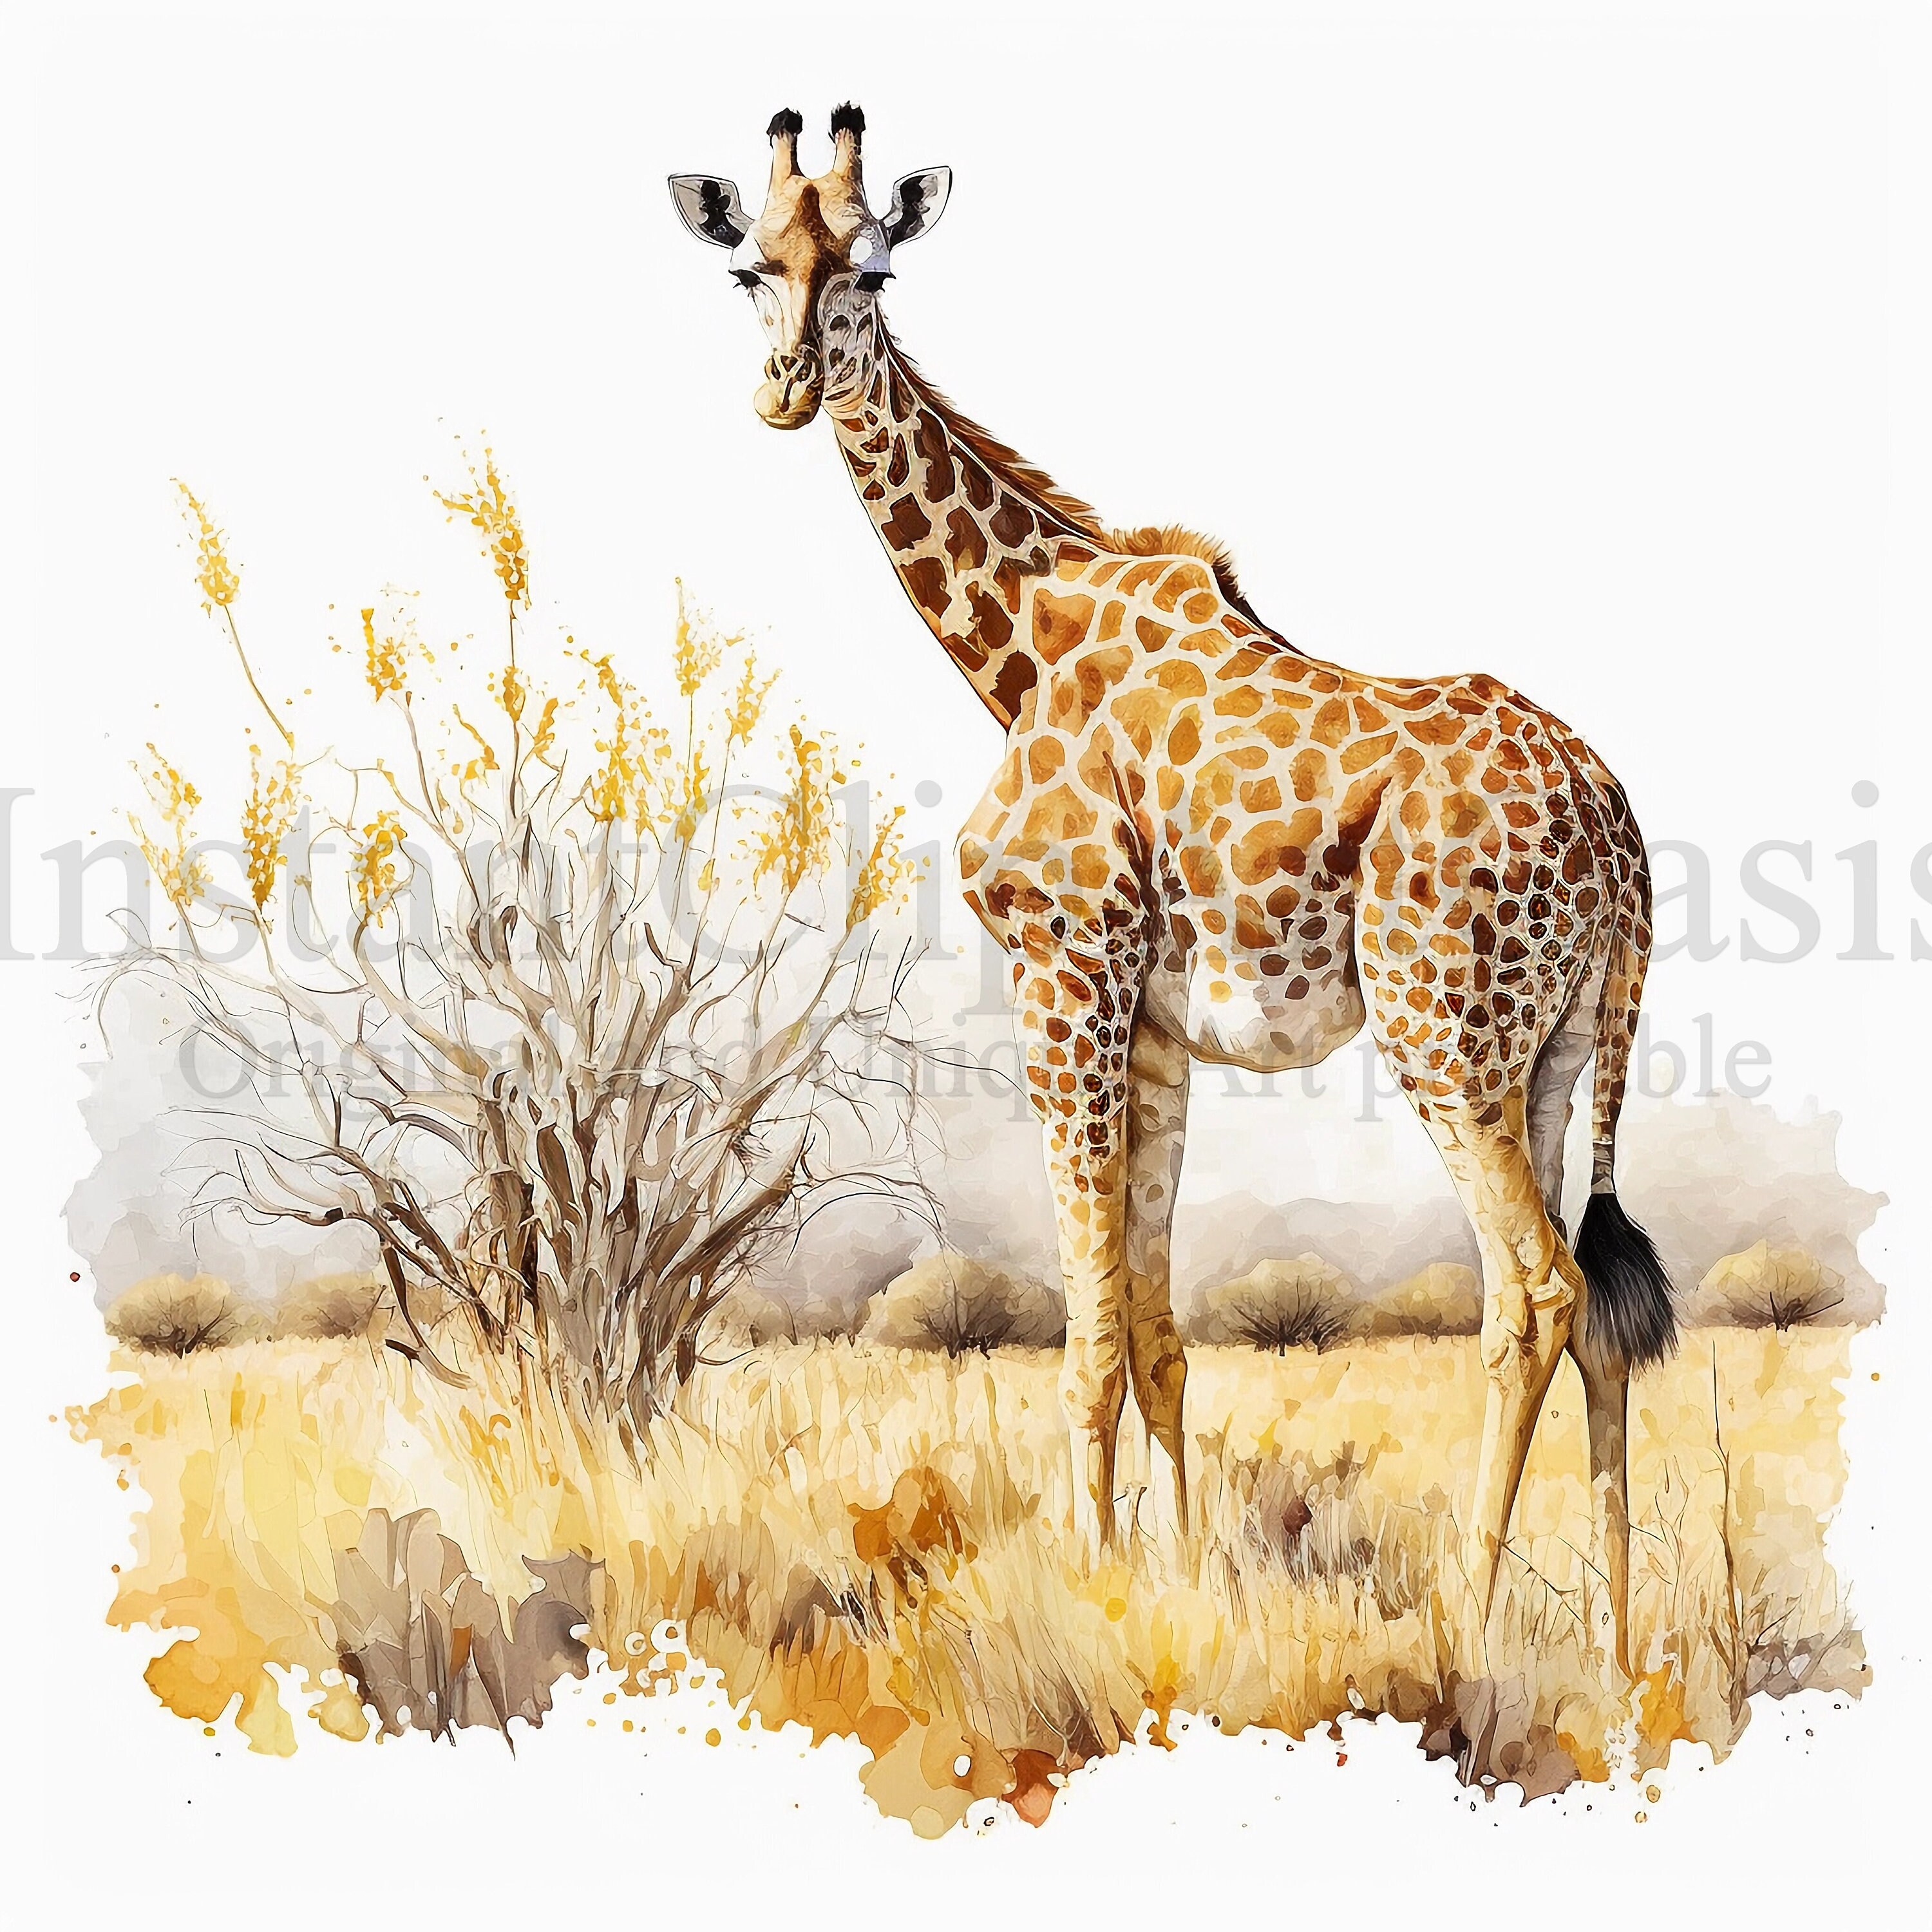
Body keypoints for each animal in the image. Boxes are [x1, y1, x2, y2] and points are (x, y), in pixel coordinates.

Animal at [671, 106, 1677, 1672]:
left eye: (875, 272)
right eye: (748, 271)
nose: (785, 392)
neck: (1019, 645)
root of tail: (1618, 829)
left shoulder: (1066, 977)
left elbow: (1087, 1337)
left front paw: (1092, 1586)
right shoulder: (1154, 1033)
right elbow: (1157, 1334)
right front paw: (1180, 1571)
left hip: (1443, 1038)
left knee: (1537, 1291)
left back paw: (1474, 1611)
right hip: (1562, 1052)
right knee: (1600, 1301)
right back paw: (1620, 1638)